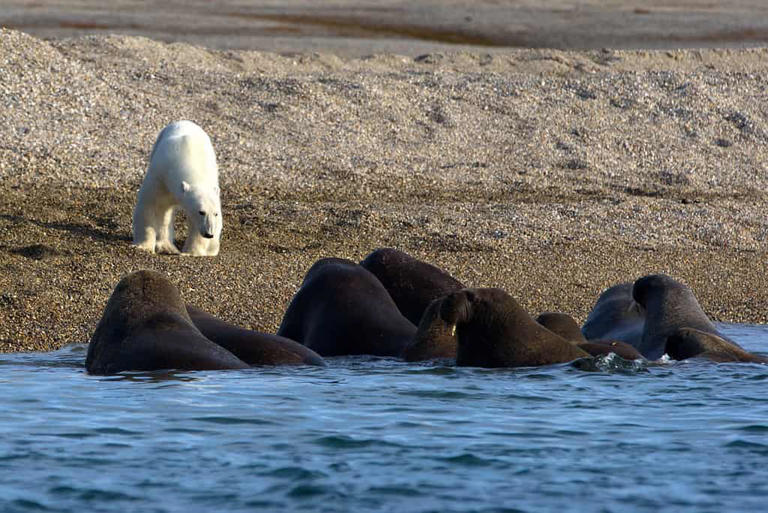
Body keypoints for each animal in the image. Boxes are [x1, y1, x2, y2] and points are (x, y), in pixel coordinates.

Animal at [132, 120, 222, 257]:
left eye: (215, 213)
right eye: (201, 212)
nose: (208, 233)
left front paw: (191, 252)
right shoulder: (161, 176)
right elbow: (150, 205)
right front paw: (144, 247)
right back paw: (166, 246)